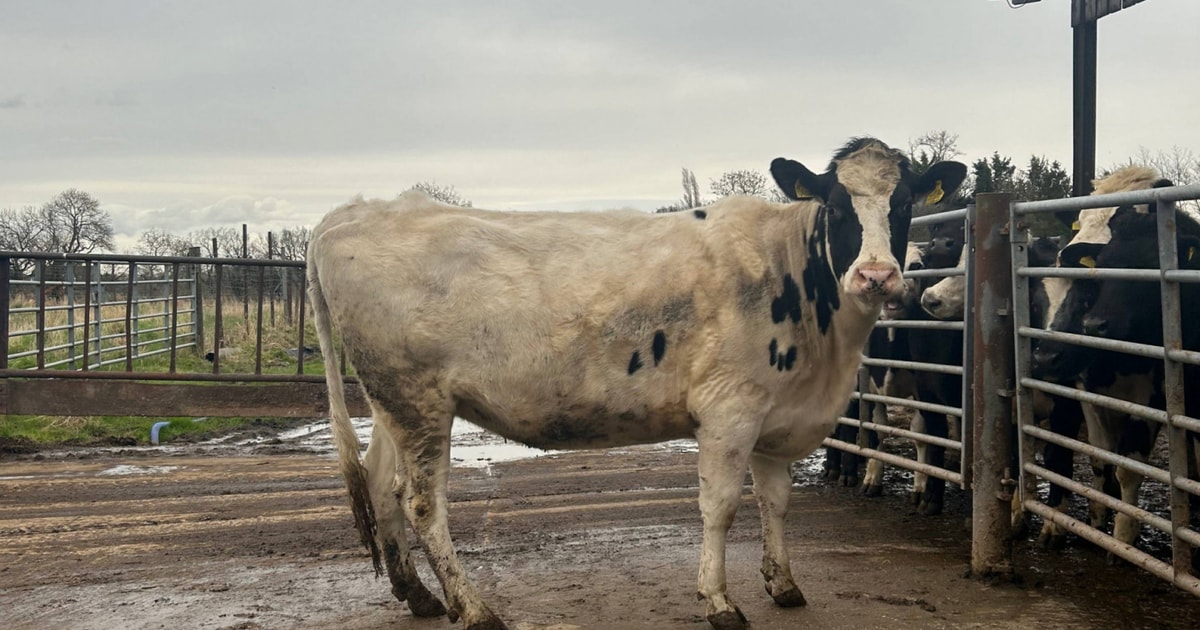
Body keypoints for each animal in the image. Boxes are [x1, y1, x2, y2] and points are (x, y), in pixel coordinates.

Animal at [306, 137, 966, 630]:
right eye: (836, 206)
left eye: (903, 204)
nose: (876, 275)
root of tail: (351, 213)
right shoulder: (729, 410)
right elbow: (720, 507)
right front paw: (720, 602)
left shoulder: (777, 415)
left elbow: (776, 503)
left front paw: (783, 584)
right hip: (416, 401)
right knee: (421, 503)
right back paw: (473, 609)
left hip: (394, 403)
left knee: (381, 484)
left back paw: (418, 595)